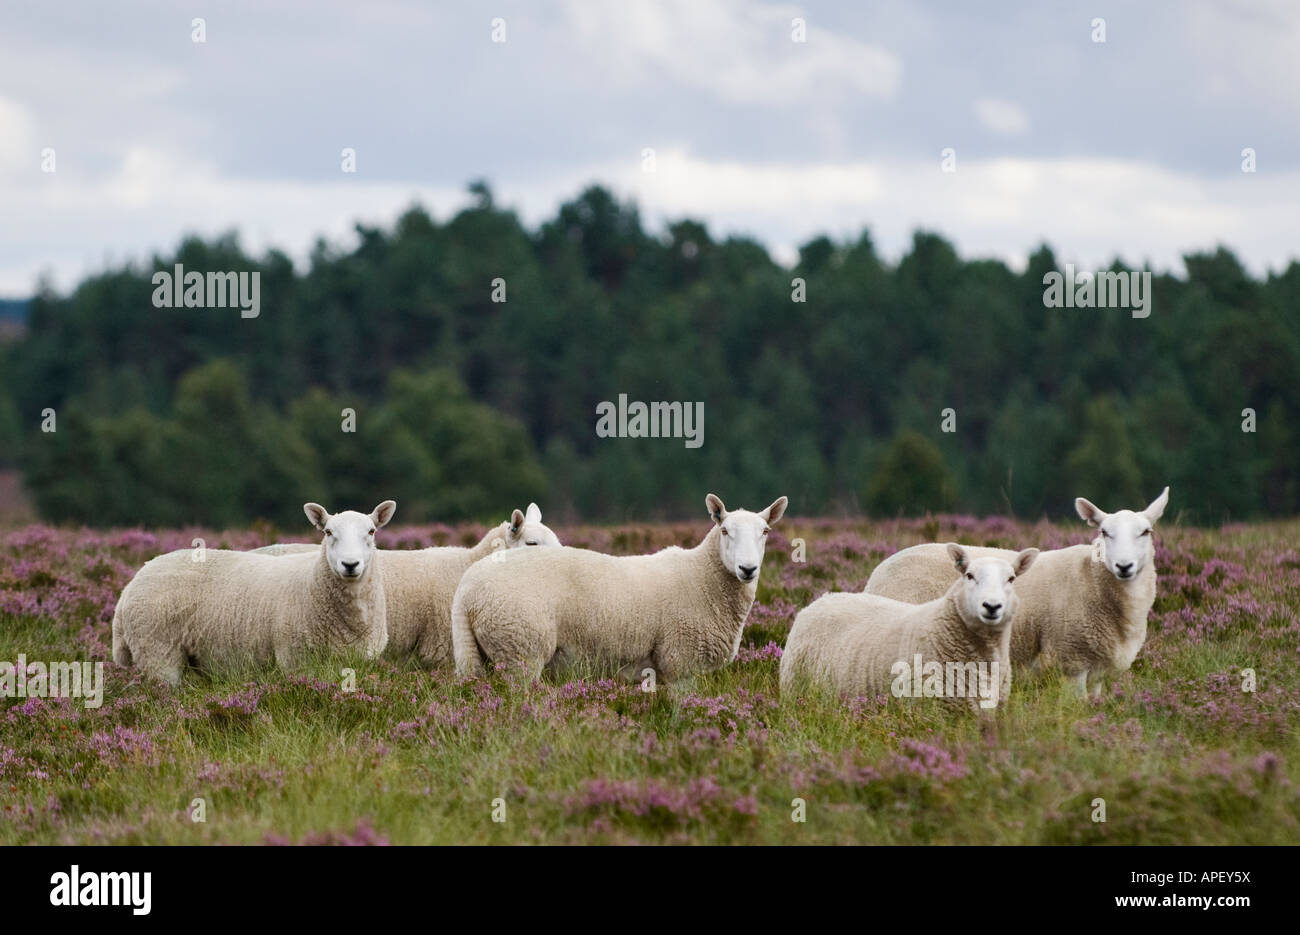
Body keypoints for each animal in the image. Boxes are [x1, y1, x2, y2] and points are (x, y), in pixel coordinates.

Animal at [111, 501, 396, 685]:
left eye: (371, 531)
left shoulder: (357, 661)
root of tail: (130, 585)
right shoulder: (295, 659)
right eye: (328, 532)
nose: (350, 564)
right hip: (157, 651)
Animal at [451, 493, 788, 684]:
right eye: (725, 530)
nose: (748, 569)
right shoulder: (681, 662)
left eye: (765, 531)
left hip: (477, 654)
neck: (701, 576)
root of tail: (466, 591)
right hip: (521, 650)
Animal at [864, 487, 1169, 697]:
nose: (1124, 566)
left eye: (1146, 532)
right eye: (1104, 532)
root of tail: (878, 572)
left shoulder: (1097, 671)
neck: (1090, 579)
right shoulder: (1071, 661)